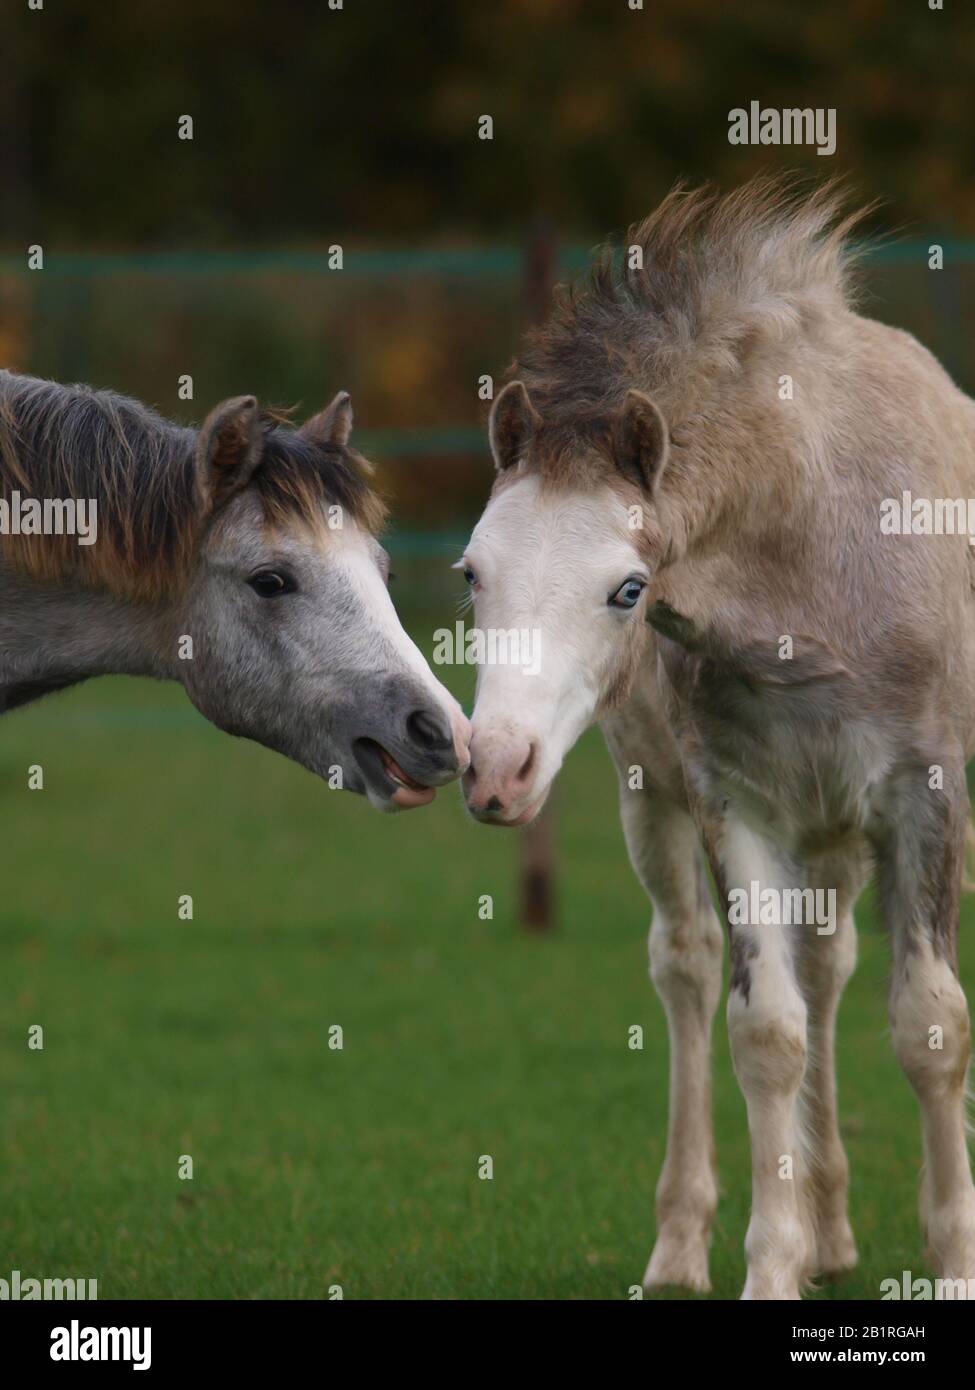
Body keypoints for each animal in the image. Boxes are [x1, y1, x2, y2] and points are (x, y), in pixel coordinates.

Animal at [459, 178, 975, 1299]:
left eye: (628, 588)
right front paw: (768, 1266)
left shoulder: (923, 793)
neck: (810, 542)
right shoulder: (734, 802)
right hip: (657, 799)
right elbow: (764, 1030)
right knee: (693, 967)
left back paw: (831, 1228)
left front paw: (955, 1262)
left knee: (828, 965)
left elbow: (930, 1024)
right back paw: (694, 1244)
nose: (495, 769)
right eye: (471, 572)